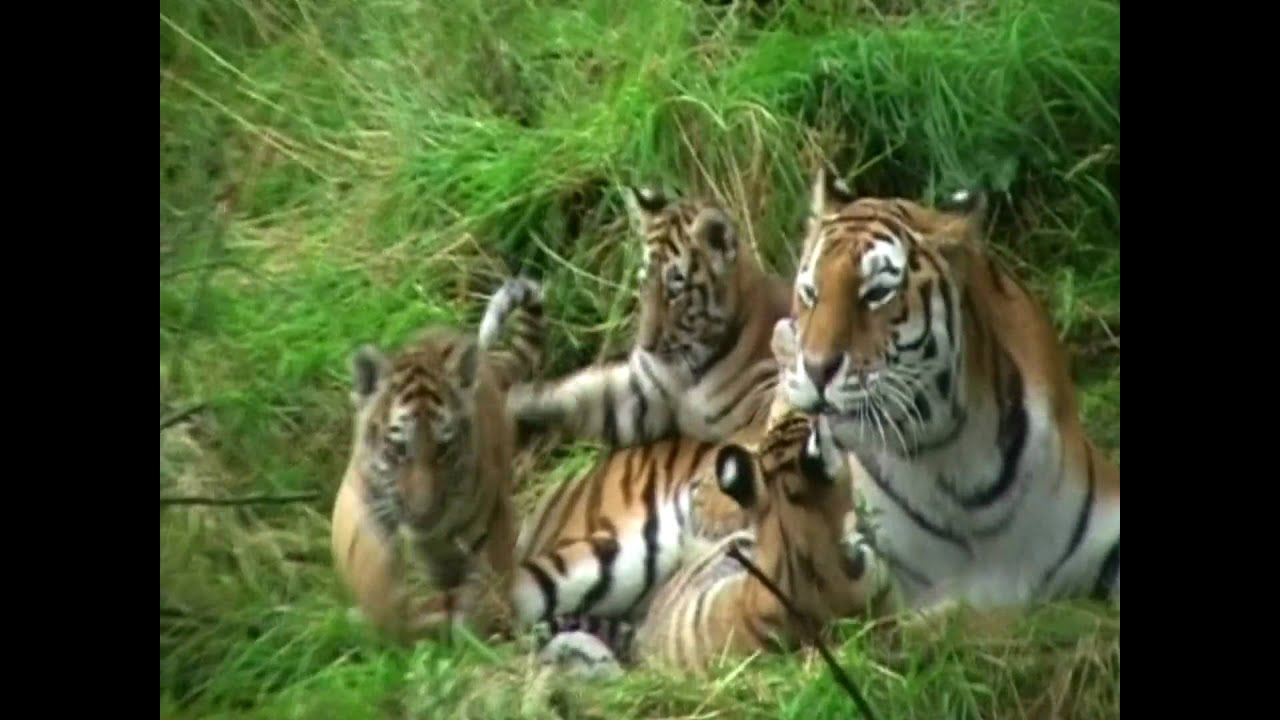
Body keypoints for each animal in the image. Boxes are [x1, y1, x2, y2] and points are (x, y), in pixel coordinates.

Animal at [330, 276, 546, 644]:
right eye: (398, 449)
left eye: (444, 449)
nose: (423, 512)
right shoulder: (365, 503)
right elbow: (374, 578)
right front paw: (388, 625)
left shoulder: (492, 516)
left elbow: (488, 583)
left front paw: (477, 632)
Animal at [506, 185, 793, 451]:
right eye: (644, 283)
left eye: (675, 291)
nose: (645, 346)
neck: (690, 367)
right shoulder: (641, 396)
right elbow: (573, 396)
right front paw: (513, 402)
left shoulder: (765, 395)